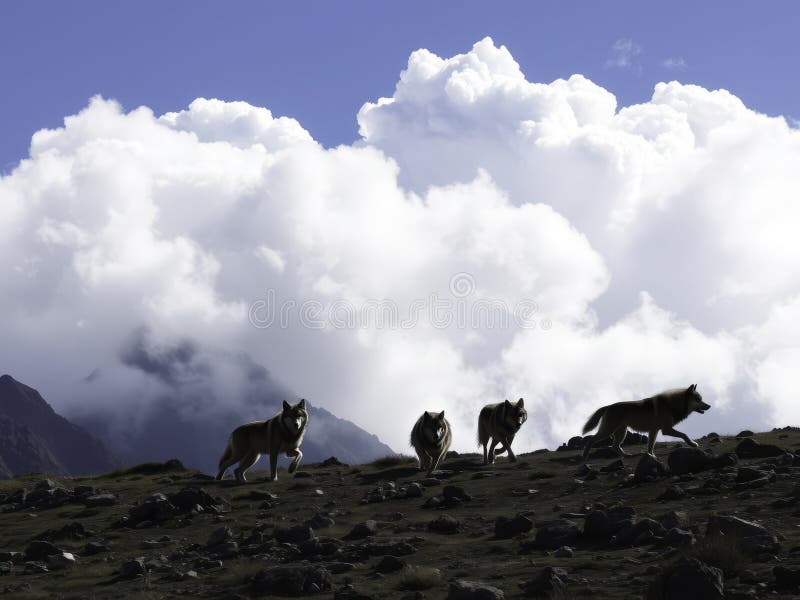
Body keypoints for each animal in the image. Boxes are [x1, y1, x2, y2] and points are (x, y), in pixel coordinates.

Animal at [581, 384, 710, 460]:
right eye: (698, 399)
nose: (709, 406)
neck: (672, 405)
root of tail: (608, 406)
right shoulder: (666, 430)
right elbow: (684, 434)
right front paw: (693, 444)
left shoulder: (654, 431)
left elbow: (650, 446)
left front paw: (651, 456)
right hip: (608, 431)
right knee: (592, 440)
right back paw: (585, 456)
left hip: (621, 432)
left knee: (615, 446)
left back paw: (627, 455)